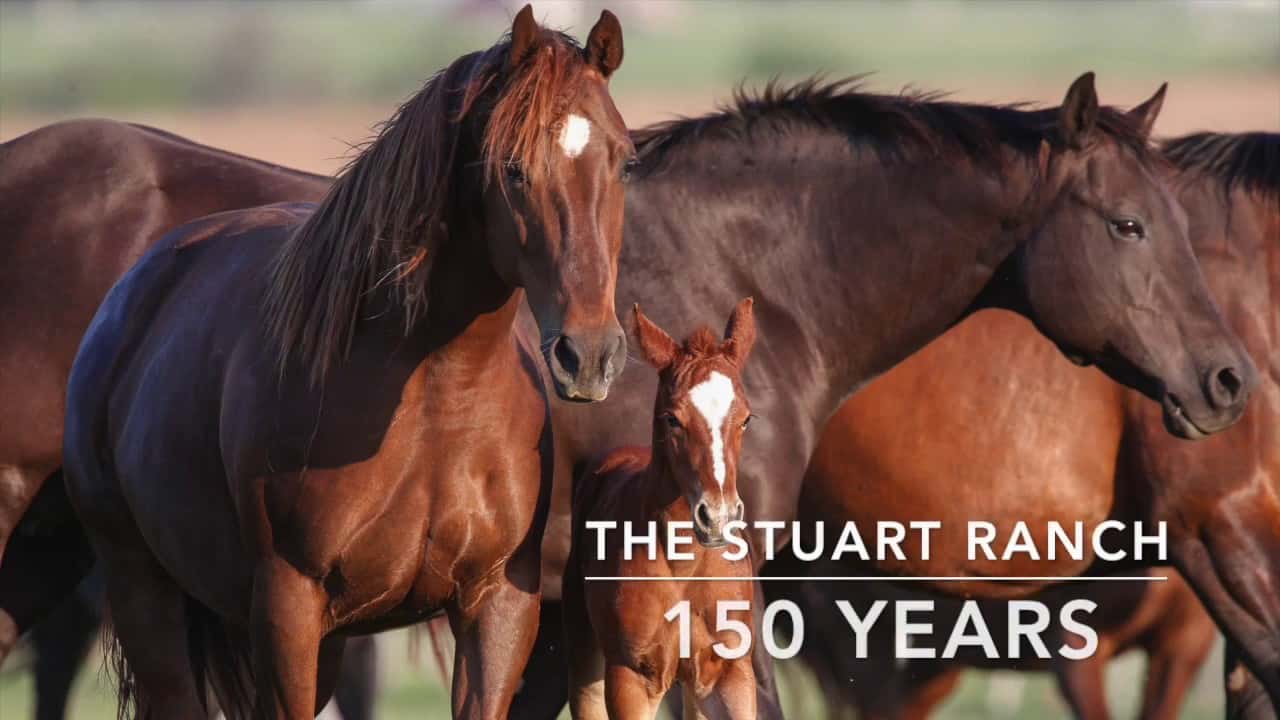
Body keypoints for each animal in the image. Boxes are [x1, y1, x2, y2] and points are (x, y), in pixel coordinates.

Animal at [61, 7, 630, 718]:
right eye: (514, 169)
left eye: (623, 161)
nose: (590, 354)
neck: (436, 389)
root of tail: (130, 296)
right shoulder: (288, 609)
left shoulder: (496, 604)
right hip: (148, 594)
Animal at [565, 299, 759, 720]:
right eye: (673, 418)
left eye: (746, 419)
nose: (718, 517)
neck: (685, 565)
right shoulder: (634, 678)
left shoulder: (729, 674)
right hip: (587, 661)